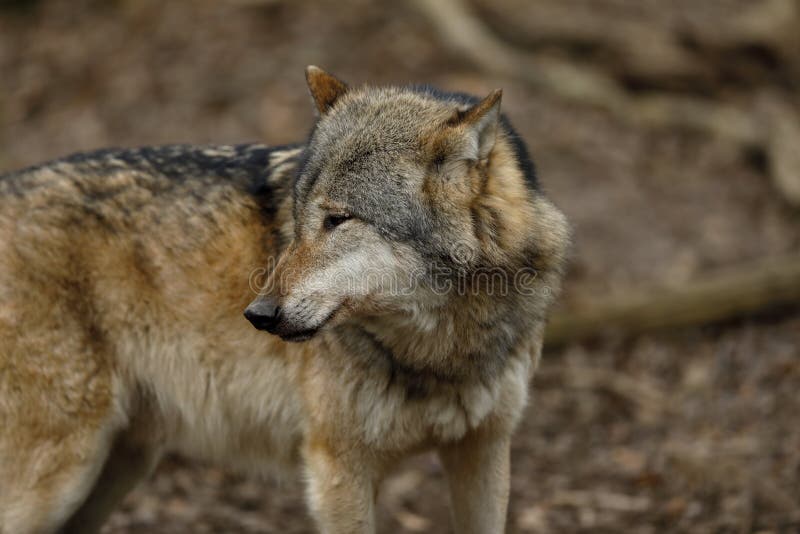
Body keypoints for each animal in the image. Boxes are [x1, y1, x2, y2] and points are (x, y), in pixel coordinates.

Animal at [0, 66, 569, 533]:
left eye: (338, 219)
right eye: (297, 218)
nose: (257, 315)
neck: (440, 349)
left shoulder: (484, 451)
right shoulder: (338, 468)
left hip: (114, 469)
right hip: (58, 476)